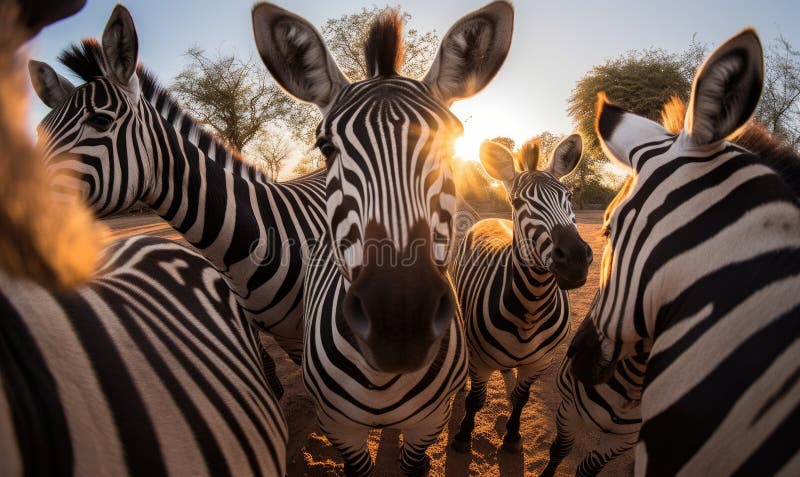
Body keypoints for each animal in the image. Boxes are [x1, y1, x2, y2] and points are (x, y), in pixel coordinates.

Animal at [448, 135, 592, 454]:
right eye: (517, 202)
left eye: (568, 196)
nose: (575, 259)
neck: (532, 307)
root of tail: (488, 219)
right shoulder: (479, 361)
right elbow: (475, 400)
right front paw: (463, 435)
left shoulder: (537, 363)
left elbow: (521, 399)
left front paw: (513, 436)